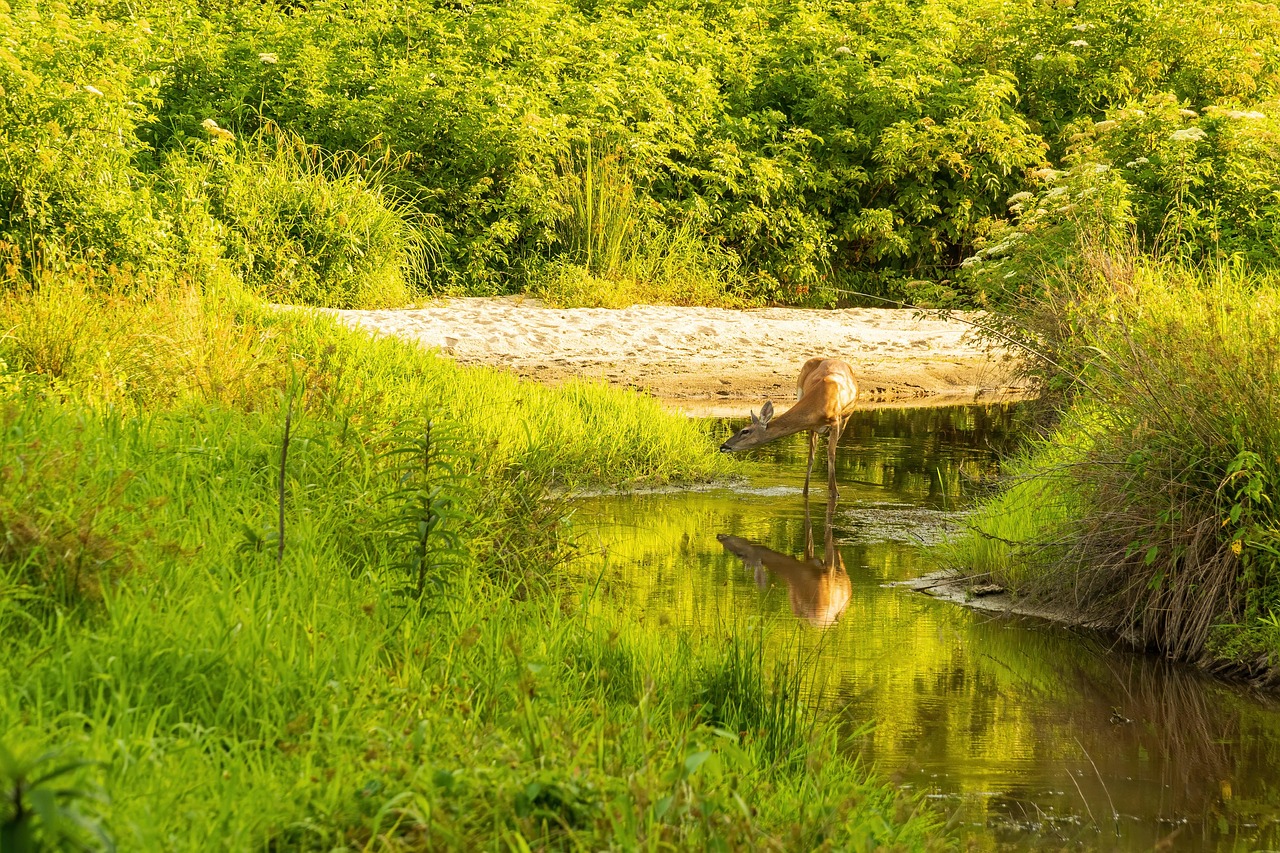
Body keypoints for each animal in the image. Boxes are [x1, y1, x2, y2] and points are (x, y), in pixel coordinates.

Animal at [719, 358, 859, 502]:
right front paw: (805, 493)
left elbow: (831, 455)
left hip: (845, 419)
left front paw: (834, 493)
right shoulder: (812, 426)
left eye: (745, 431)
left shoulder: (836, 422)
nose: (723, 446)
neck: (819, 402)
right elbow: (810, 458)